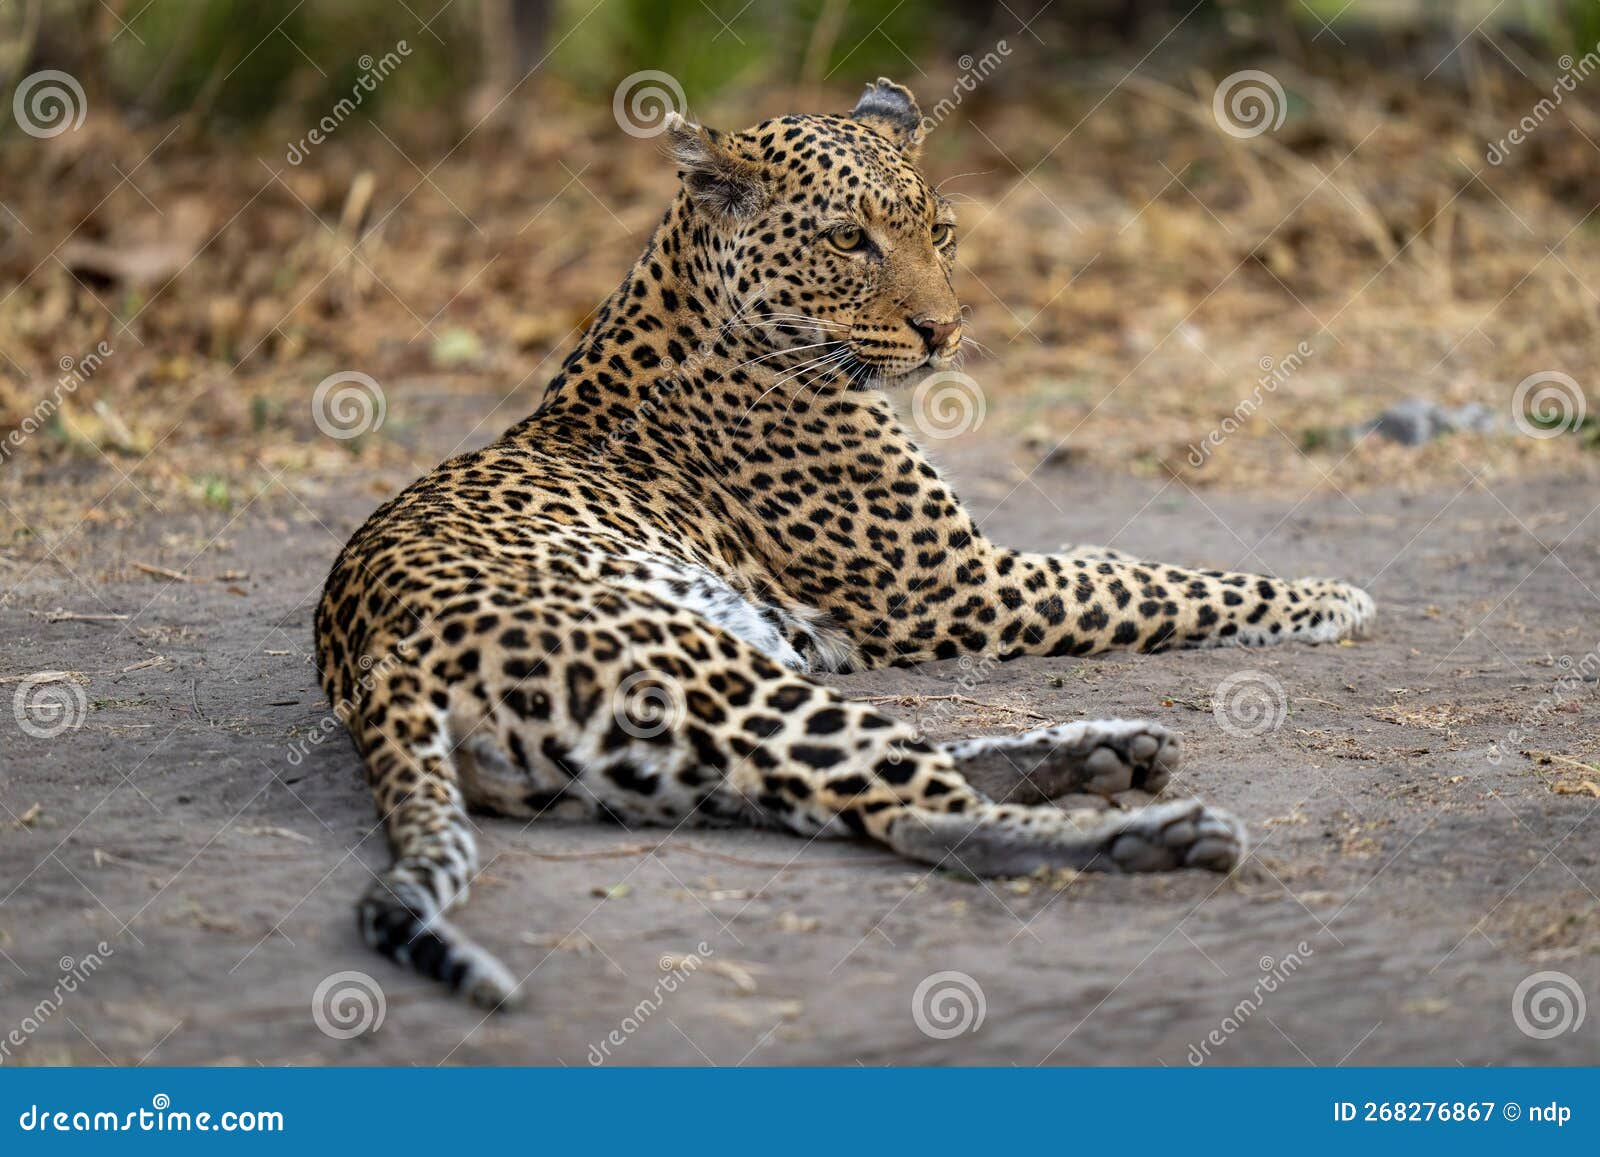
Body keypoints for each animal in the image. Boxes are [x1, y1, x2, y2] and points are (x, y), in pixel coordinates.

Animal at [313, 79, 1375, 1008]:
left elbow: (1120, 565)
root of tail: (379, 668)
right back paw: (1159, 832)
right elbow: (1159, 582)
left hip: (674, 744)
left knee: (883, 773)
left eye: (939, 232)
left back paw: (1113, 751)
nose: (944, 330)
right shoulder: (962, 588)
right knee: (920, 812)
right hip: (703, 674)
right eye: (846, 239)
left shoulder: (972, 574)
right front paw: (1328, 596)